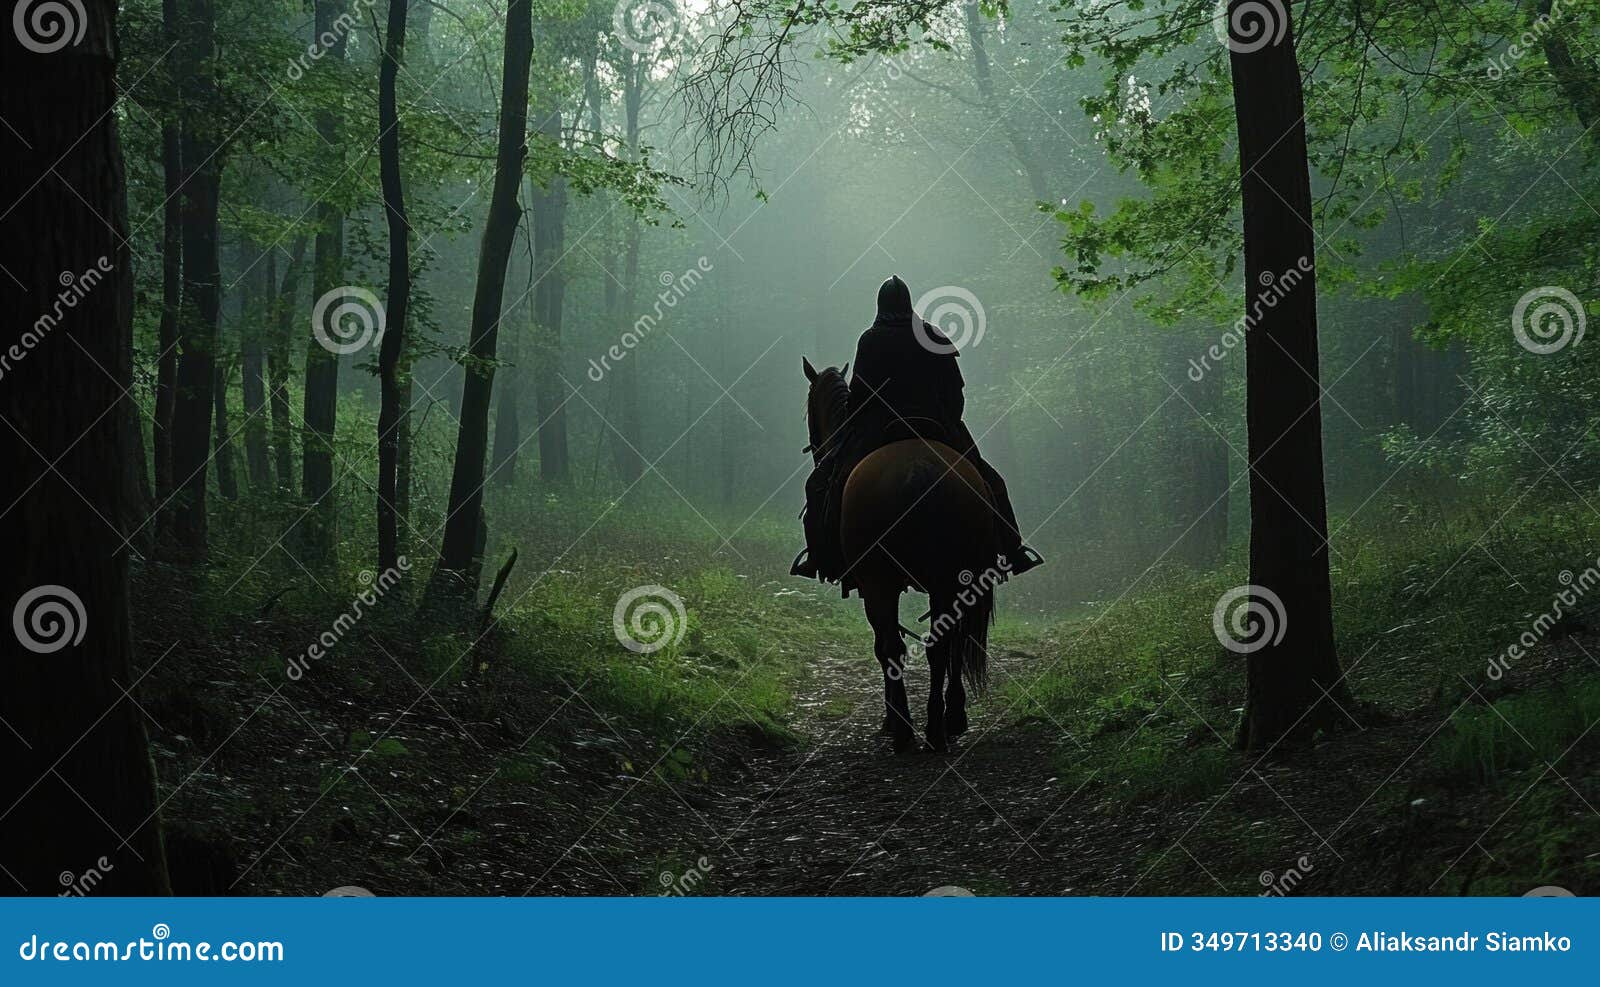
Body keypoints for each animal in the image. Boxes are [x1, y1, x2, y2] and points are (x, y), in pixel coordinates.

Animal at [802, 358, 997, 753]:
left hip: (881, 581)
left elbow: (884, 645)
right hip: (951, 579)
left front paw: (891, 719)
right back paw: (942, 725)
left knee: (894, 646)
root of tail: (918, 471)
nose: (815, 448)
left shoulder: (871, 586)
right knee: (945, 644)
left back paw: (907, 730)